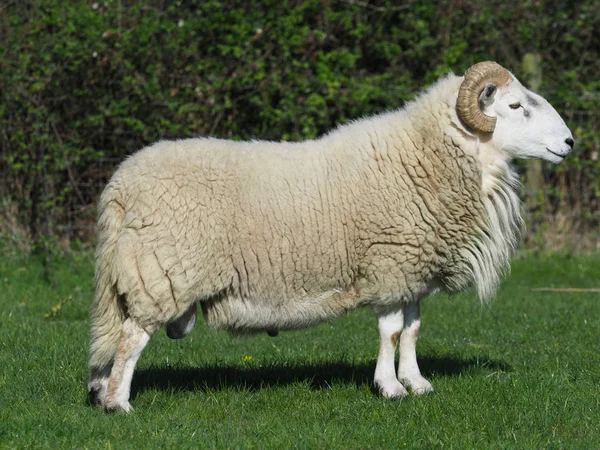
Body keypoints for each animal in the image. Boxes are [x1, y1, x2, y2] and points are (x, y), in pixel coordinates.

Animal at [88, 62, 572, 412]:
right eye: (515, 106)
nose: (569, 142)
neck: (425, 157)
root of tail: (120, 187)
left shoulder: (411, 270)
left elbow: (413, 329)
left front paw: (417, 382)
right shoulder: (388, 262)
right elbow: (391, 331)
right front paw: (390, 388)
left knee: (113, 337)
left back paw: (101, 393)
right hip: (162, 273)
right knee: (131, 338)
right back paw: (120, 405)